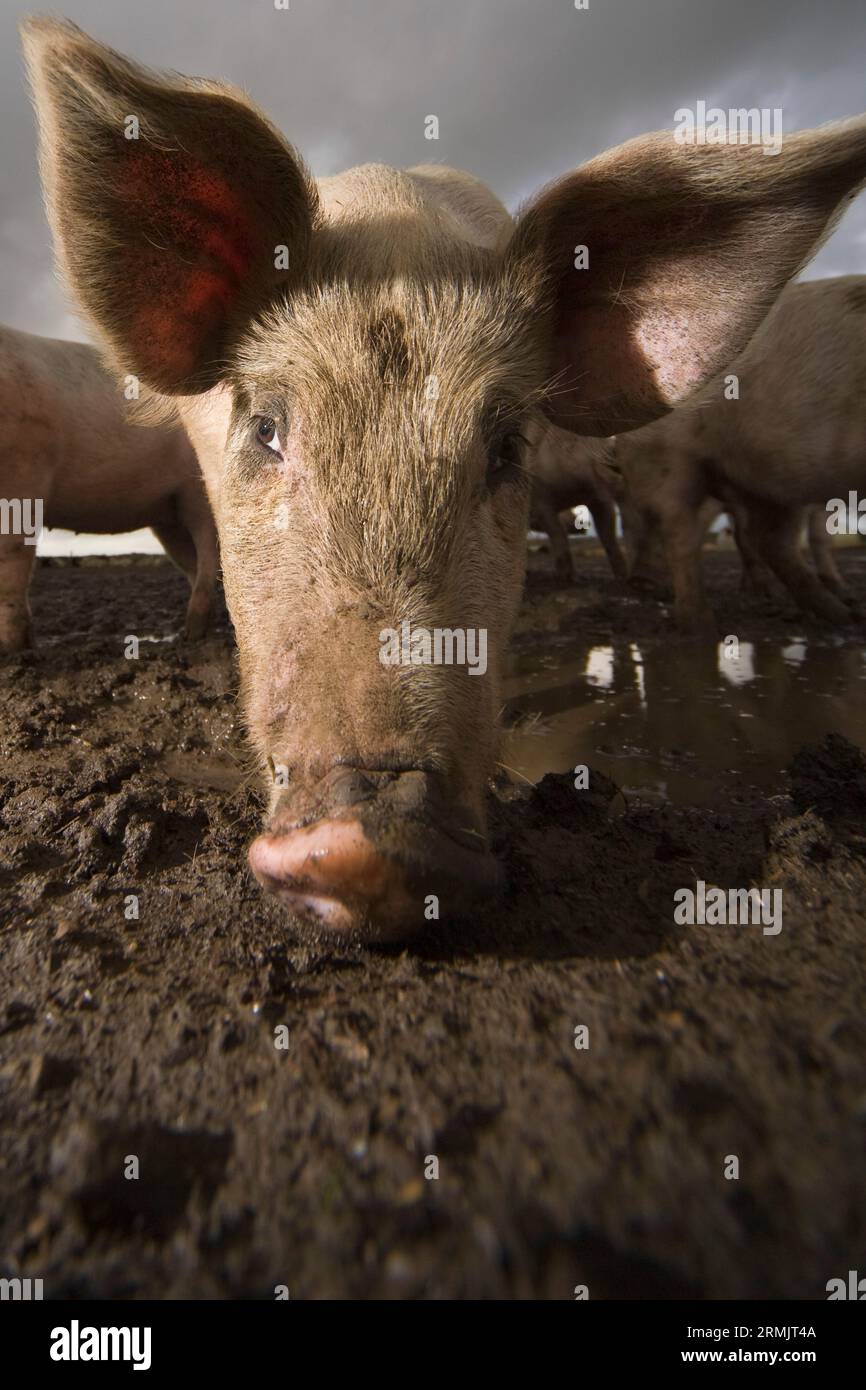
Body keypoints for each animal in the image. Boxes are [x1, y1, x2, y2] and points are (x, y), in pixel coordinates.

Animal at [0, 326, 219, 651]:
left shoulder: (26, 467)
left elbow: (12, 555)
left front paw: (15, 649)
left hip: (199, 497)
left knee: (209, 558)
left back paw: (195, 635)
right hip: (170, 514)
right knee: (195, 564)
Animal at [528, 423, 626, 581]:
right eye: (574, 440)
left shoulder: (598, 500)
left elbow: (608, 537)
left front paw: (623, 577)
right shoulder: (540, 502)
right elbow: (558, 535)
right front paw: (567, 577)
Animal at [615, 277, 866, 628]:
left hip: (771, 478)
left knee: (770, 540)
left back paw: (841, 615)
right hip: (667, 460)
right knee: (680, 532)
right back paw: (700, 622)